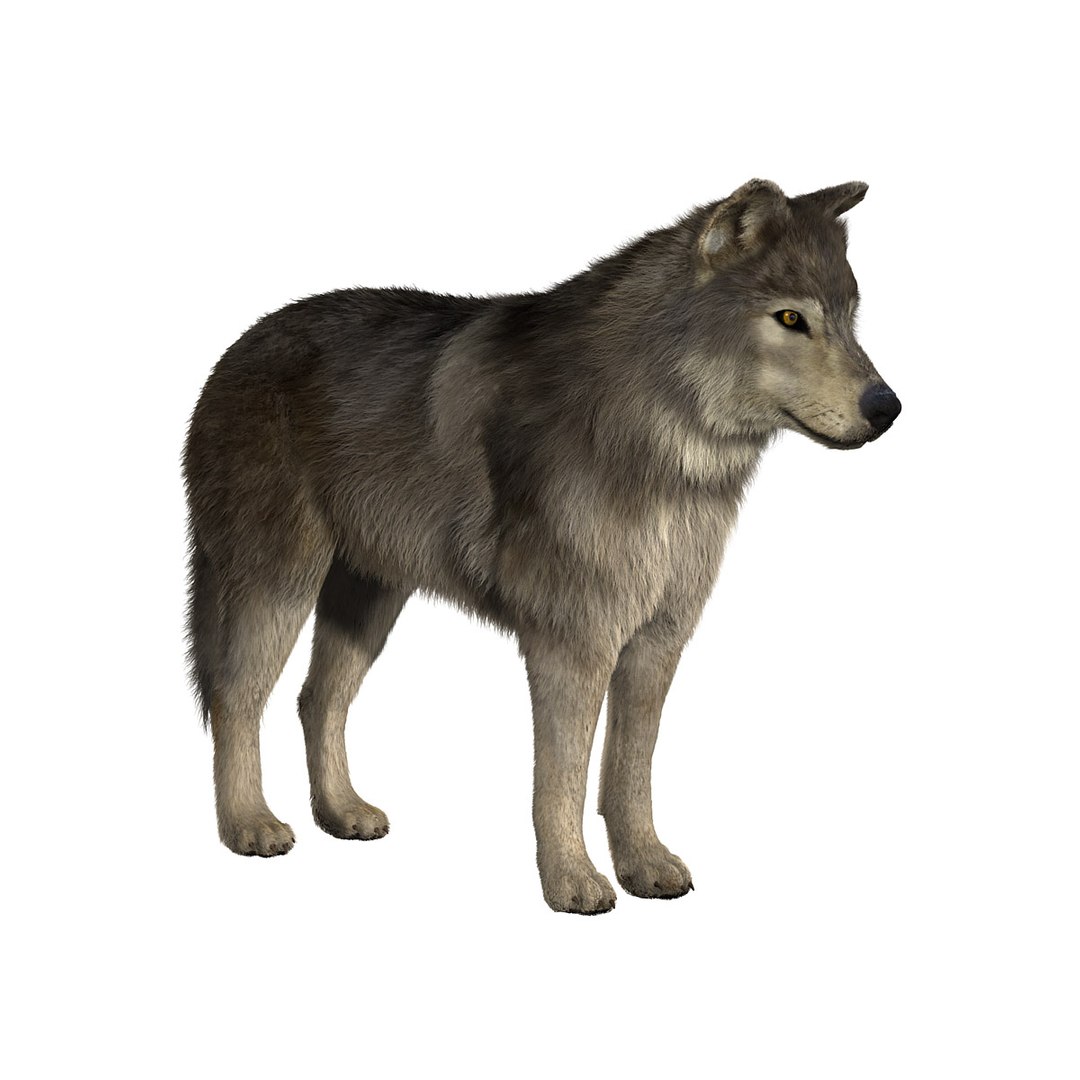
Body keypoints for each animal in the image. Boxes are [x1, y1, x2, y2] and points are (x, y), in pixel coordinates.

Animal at [183, 179, 900, 914]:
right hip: (279, 584)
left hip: (370, 598)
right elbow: (562, 778)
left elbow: (629, 772)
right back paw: (248, 825)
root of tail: (237, 350)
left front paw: (644, 865)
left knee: (316, 698)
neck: (656, 438)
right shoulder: (572, 643)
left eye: (850, 317)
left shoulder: (656, 643)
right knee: (235, 696)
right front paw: (572, 882)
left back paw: (342, 813)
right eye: (790, 319)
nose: (888, 408)